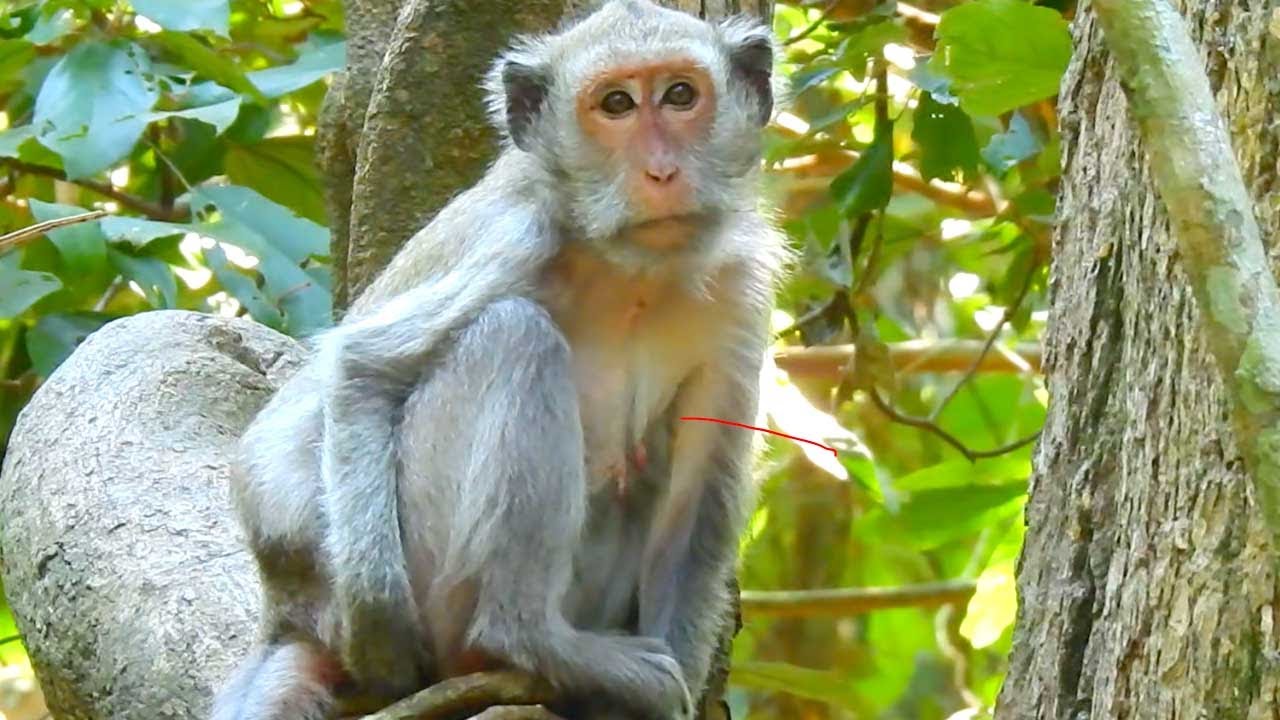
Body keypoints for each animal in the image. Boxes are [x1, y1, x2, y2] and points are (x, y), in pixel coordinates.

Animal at [211, 1, 786, 718]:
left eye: (681, 95)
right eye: (616, 104)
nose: (661, 172)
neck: (630, 267)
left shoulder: (740, 290)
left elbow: (702, 481)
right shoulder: (510, 238)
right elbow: (363, 371)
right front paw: (380, 625)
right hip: (433, 571)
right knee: (515, 337)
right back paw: (526, 637)